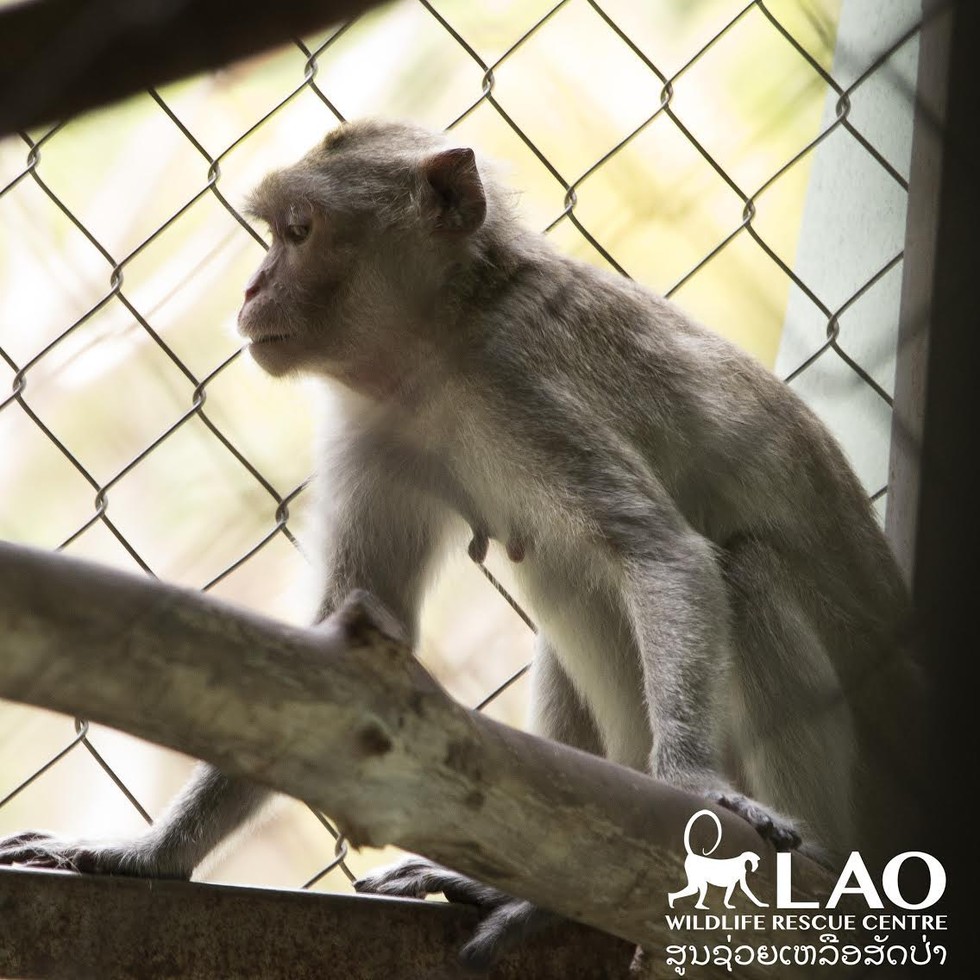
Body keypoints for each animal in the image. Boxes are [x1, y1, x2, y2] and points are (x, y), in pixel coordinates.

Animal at [0, 119, 924, 968]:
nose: (254, 285)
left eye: (298, 230)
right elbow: (342, 649)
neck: (443, 341)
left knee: (741, 573)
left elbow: (663, 555)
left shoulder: (521, 382)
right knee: (567, 579)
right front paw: (150, 854)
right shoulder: (378, 428)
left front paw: (695, 783)